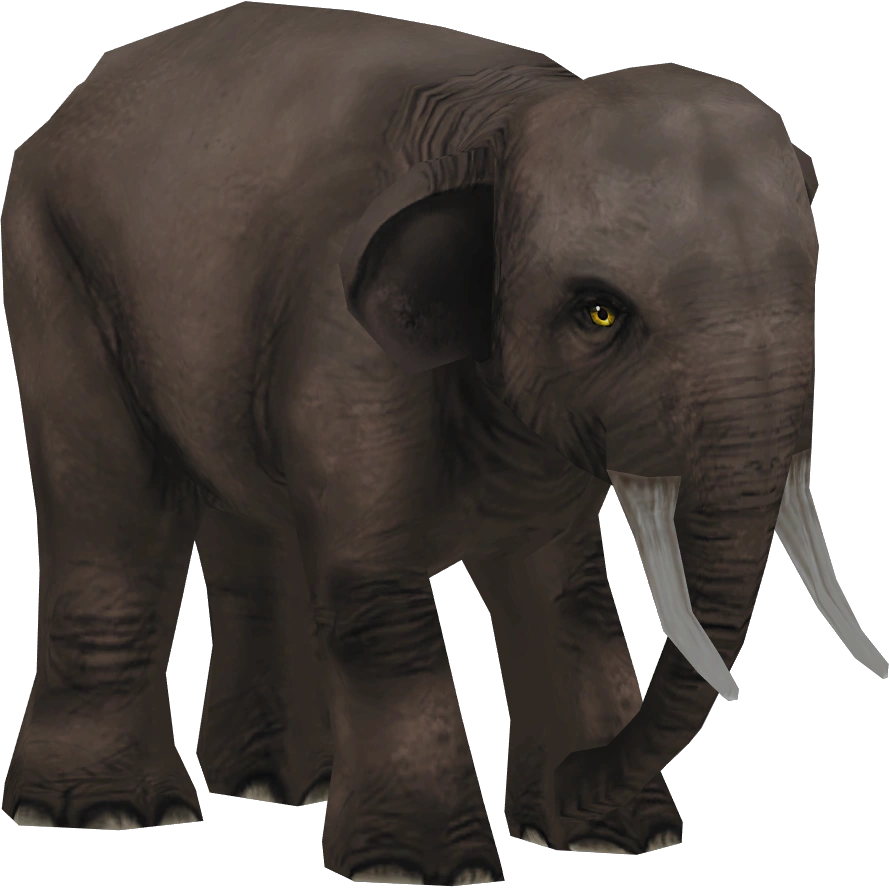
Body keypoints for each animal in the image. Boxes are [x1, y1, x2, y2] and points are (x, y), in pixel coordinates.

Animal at [2, 4, 885, 884]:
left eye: (808, 286)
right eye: (597, 312)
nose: (580, 775)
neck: (503, 120)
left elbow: (566, 592)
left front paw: (611, 837)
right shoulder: (344, 344)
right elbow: (376, 591)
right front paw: (417, 867)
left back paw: (277, 785)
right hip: (55, 268)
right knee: (115, 510)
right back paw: (106, 812)